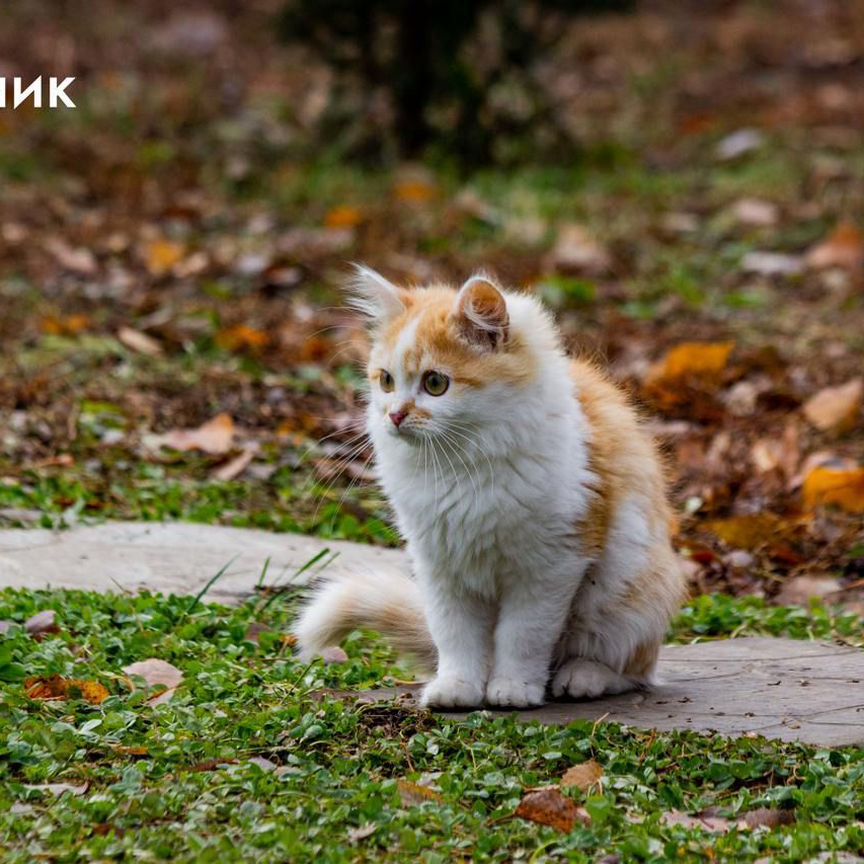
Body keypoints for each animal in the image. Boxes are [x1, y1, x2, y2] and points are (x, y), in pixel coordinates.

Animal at [296, 268, 688, 708]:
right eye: (386, 381)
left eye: (435, 383)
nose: (395, 415)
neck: (461, 467)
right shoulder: (440, 566)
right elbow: (456, 637)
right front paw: (458, 687)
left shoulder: (550, 566)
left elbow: (523, 637)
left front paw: (513, 688)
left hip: (628, 590)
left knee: (633, 669)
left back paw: (582, 676)